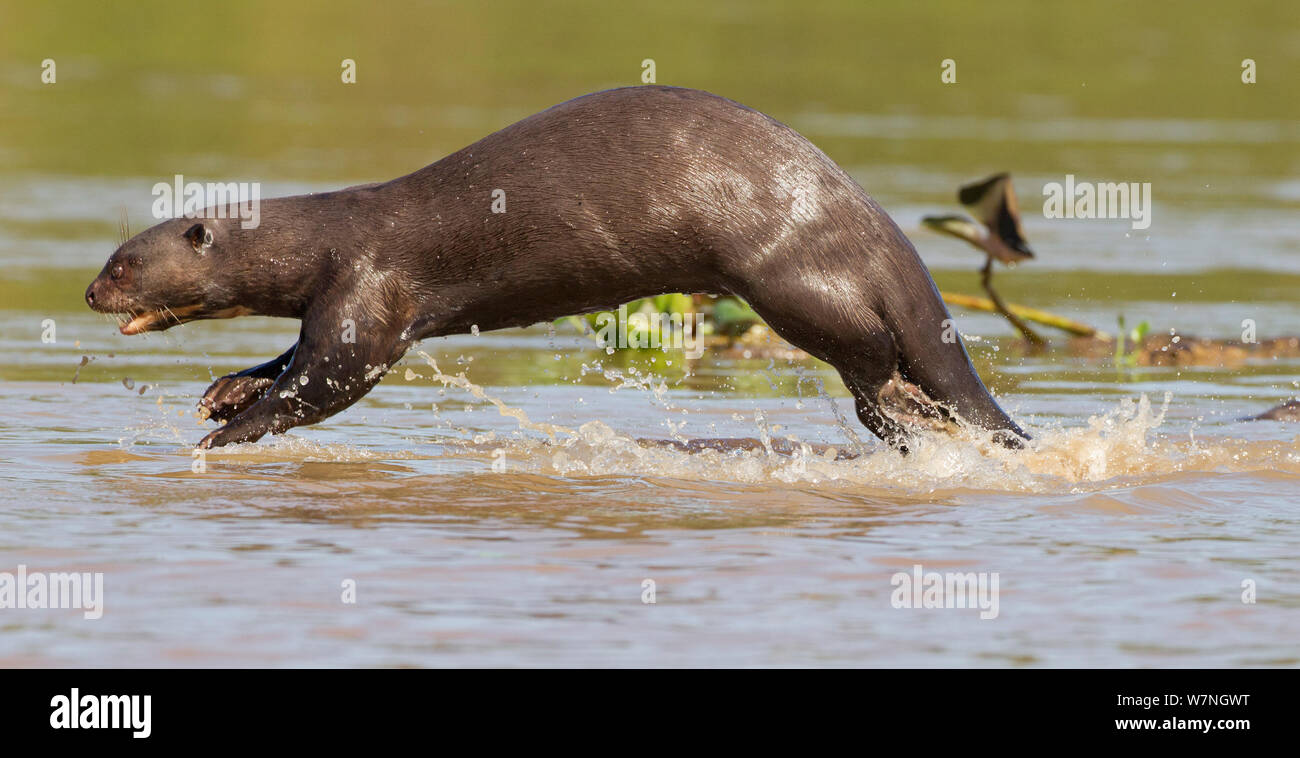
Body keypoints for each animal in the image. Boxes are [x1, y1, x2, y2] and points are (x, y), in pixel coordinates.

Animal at [85, 86, 1028, 451]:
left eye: (125, 262)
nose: (90, 290)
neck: (328, 236)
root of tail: (866, 219)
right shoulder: (336, 300)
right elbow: (289, 358)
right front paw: (223, 392)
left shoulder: (369, 292)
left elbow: (328, 379)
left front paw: (227, 432)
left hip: (786, 277)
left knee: (873, 356)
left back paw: (908, 406)